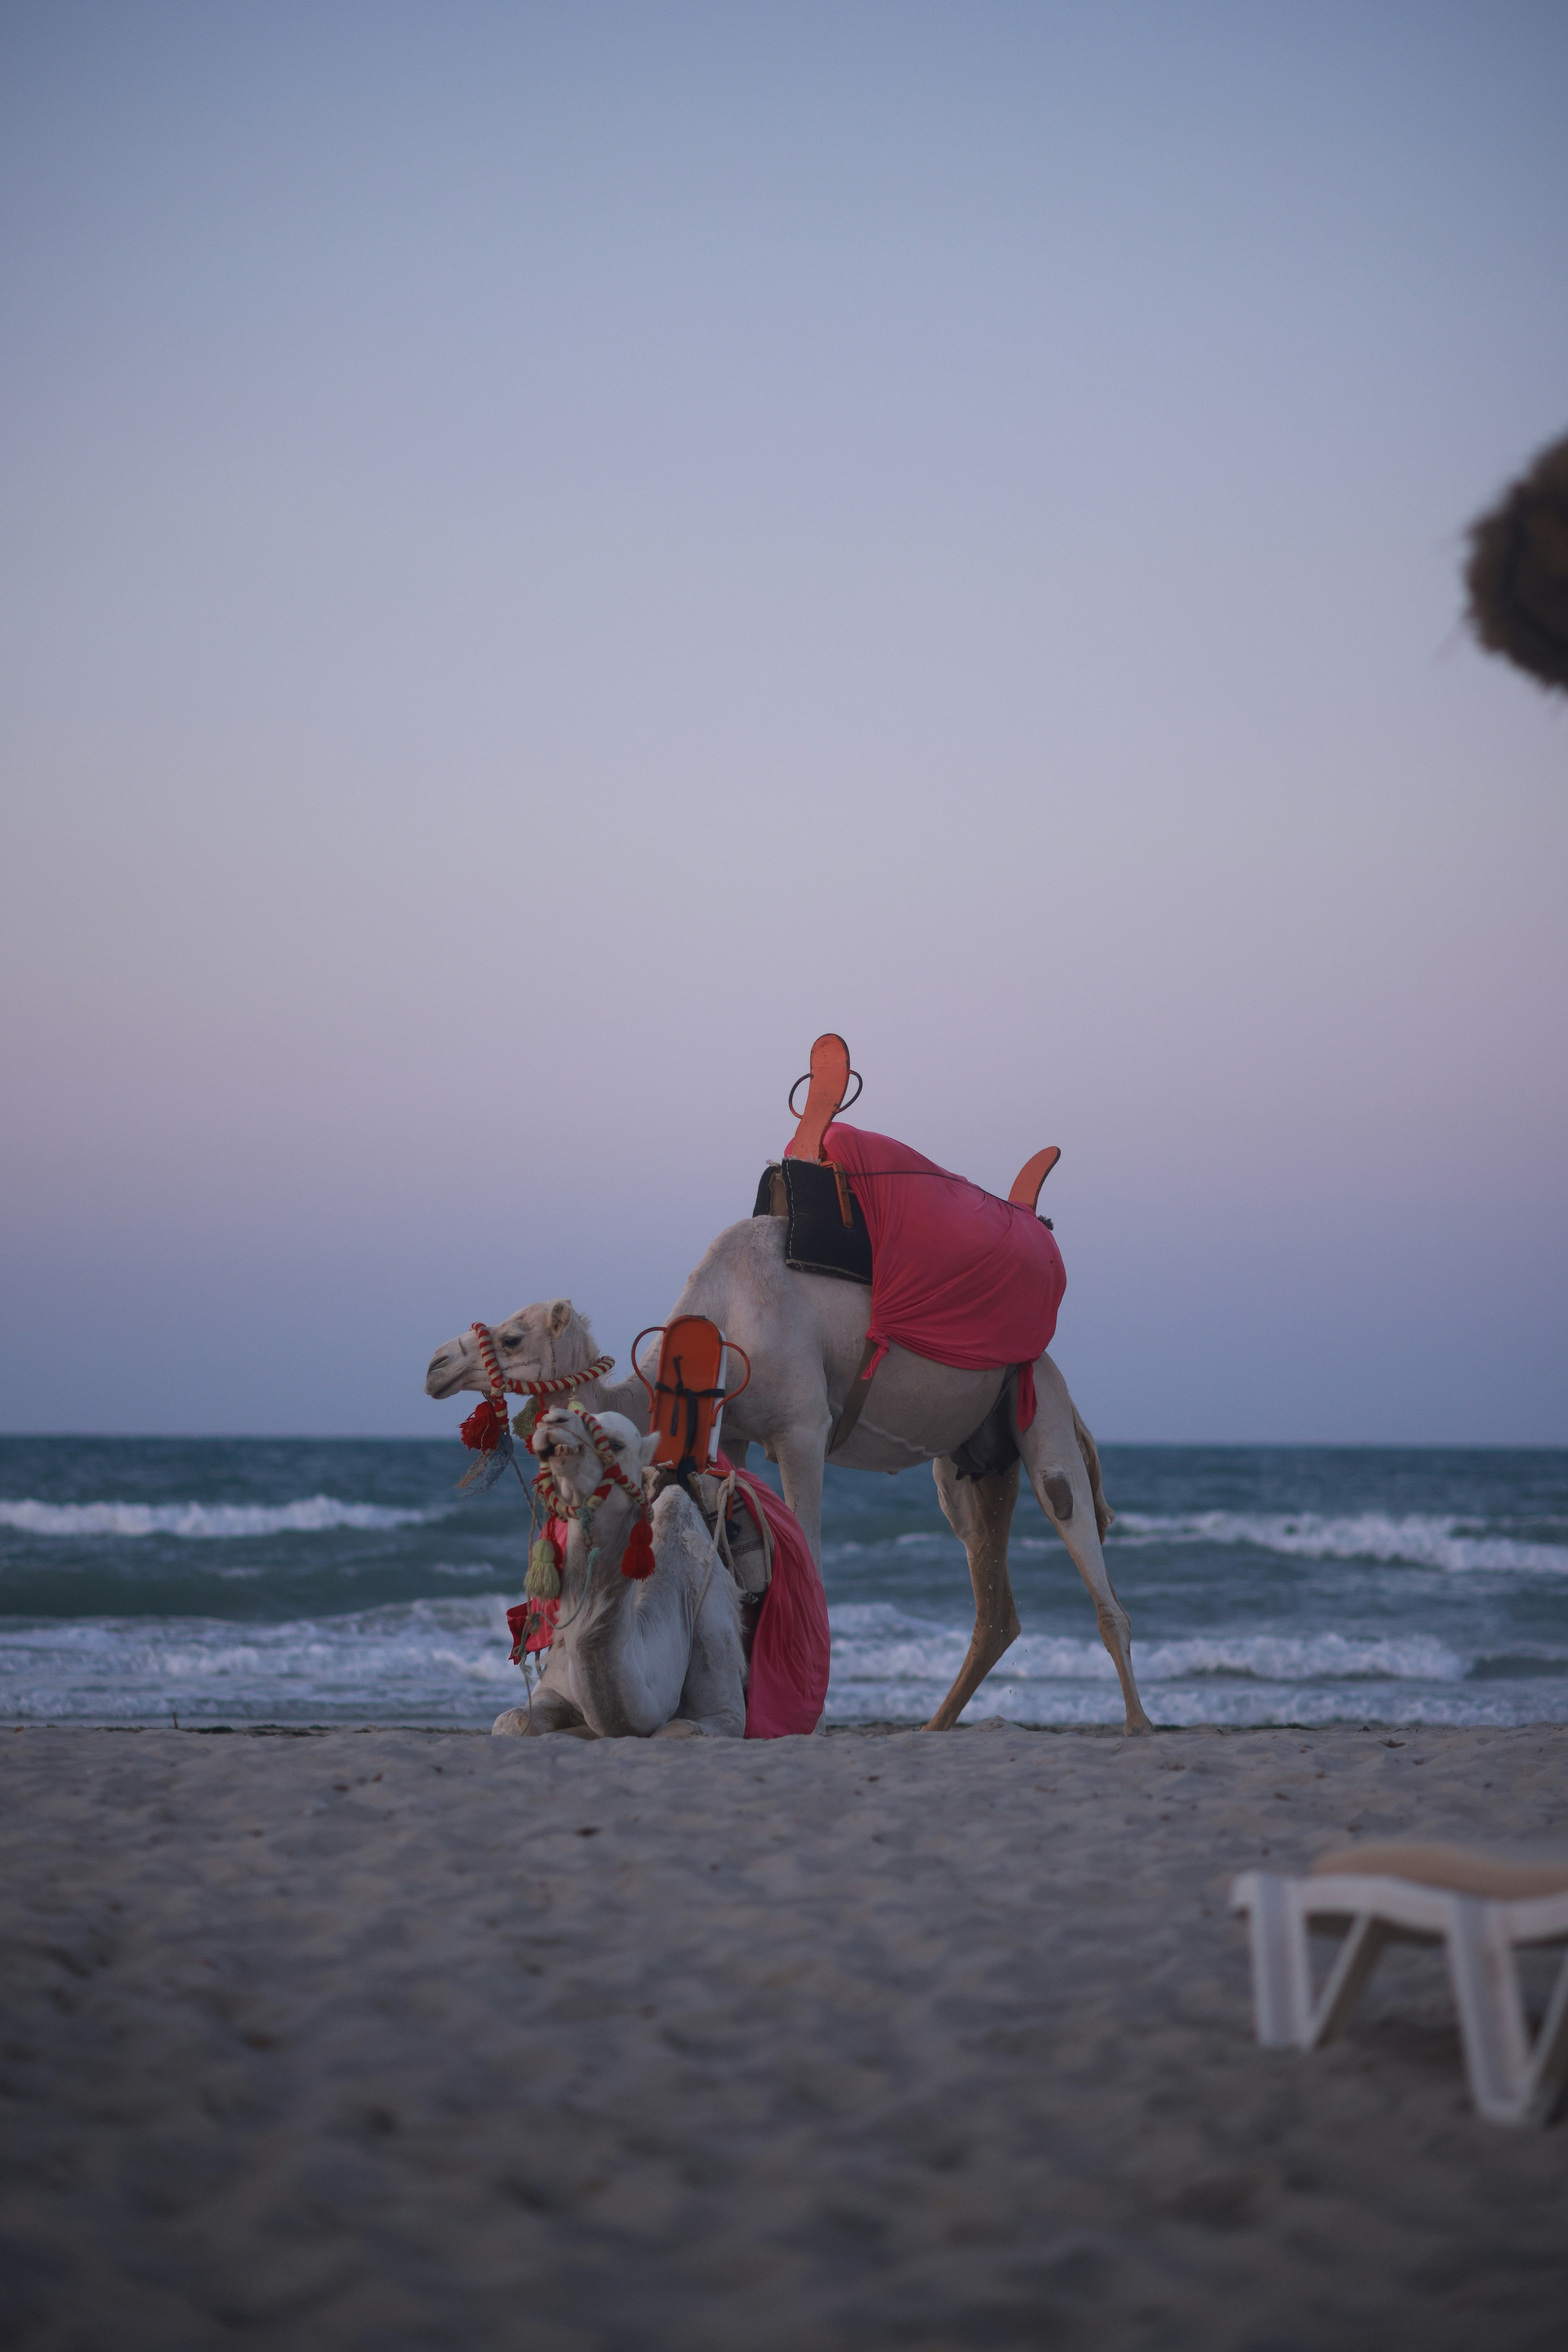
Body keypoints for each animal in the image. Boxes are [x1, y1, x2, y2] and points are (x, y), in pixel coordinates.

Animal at [490, 1406, 746, 1741]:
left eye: (616, 1445)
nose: (552, 1420)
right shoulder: (555, 1681)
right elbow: (514, 1721)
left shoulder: (726, 1705)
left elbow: (677, 1730)